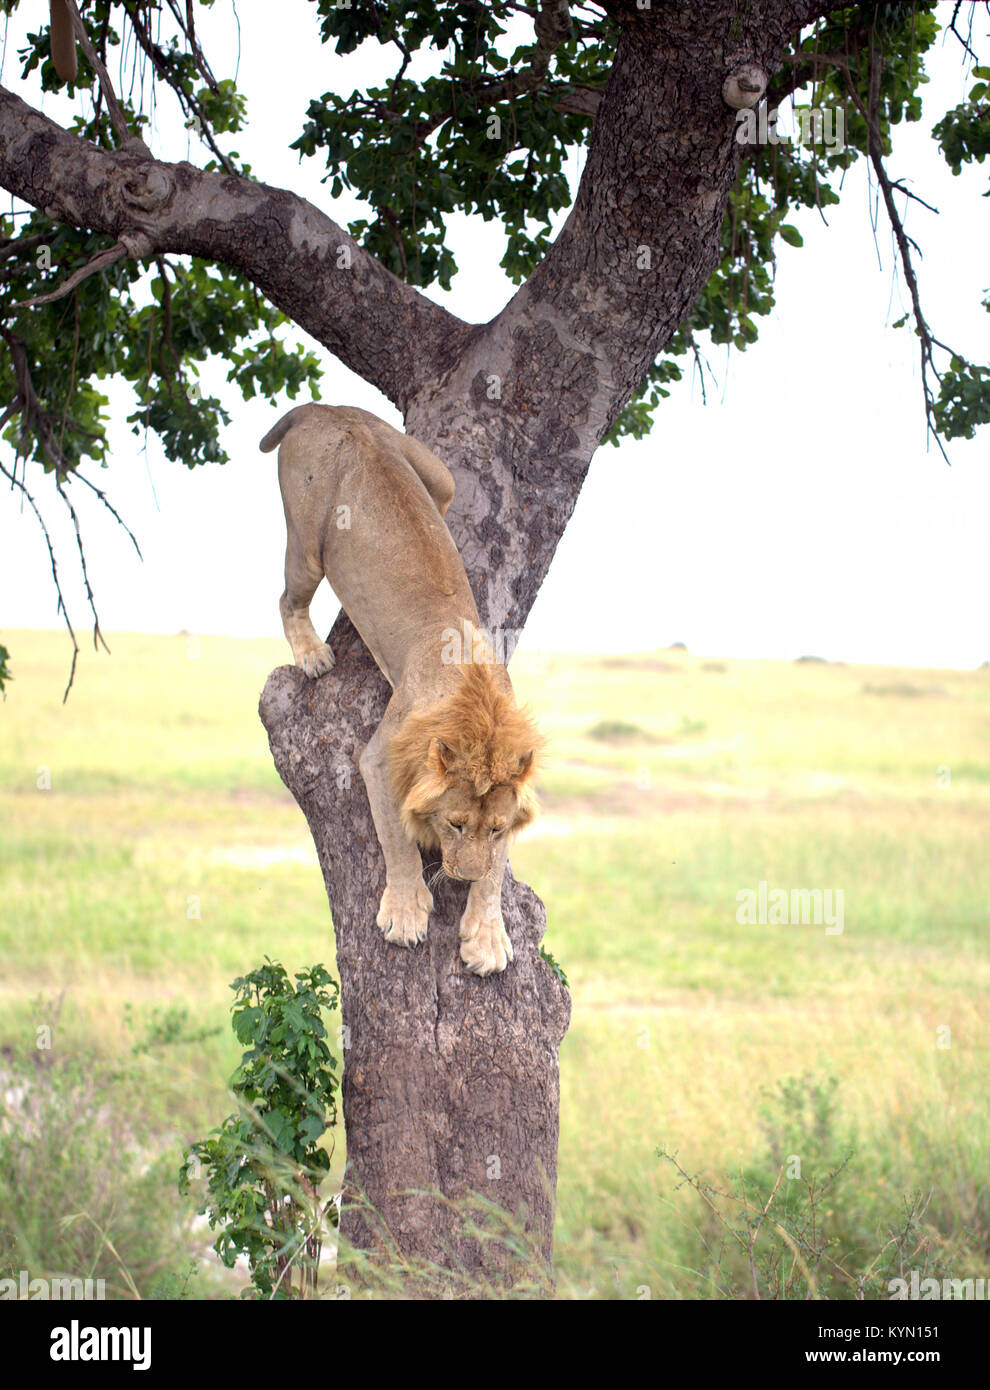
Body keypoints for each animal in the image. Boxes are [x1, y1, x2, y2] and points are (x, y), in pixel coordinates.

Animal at [260, 403, 542, 975]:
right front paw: (408, 912)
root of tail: (326, 409)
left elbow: (497, 874)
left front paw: (486, 935)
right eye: (454, 824)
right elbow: (397, 838)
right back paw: (312, 654)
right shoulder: (380, 757)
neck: (479, 706)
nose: (464, 876)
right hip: (309, 538)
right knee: (287, 596)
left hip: (436, 473)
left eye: (495, 829)